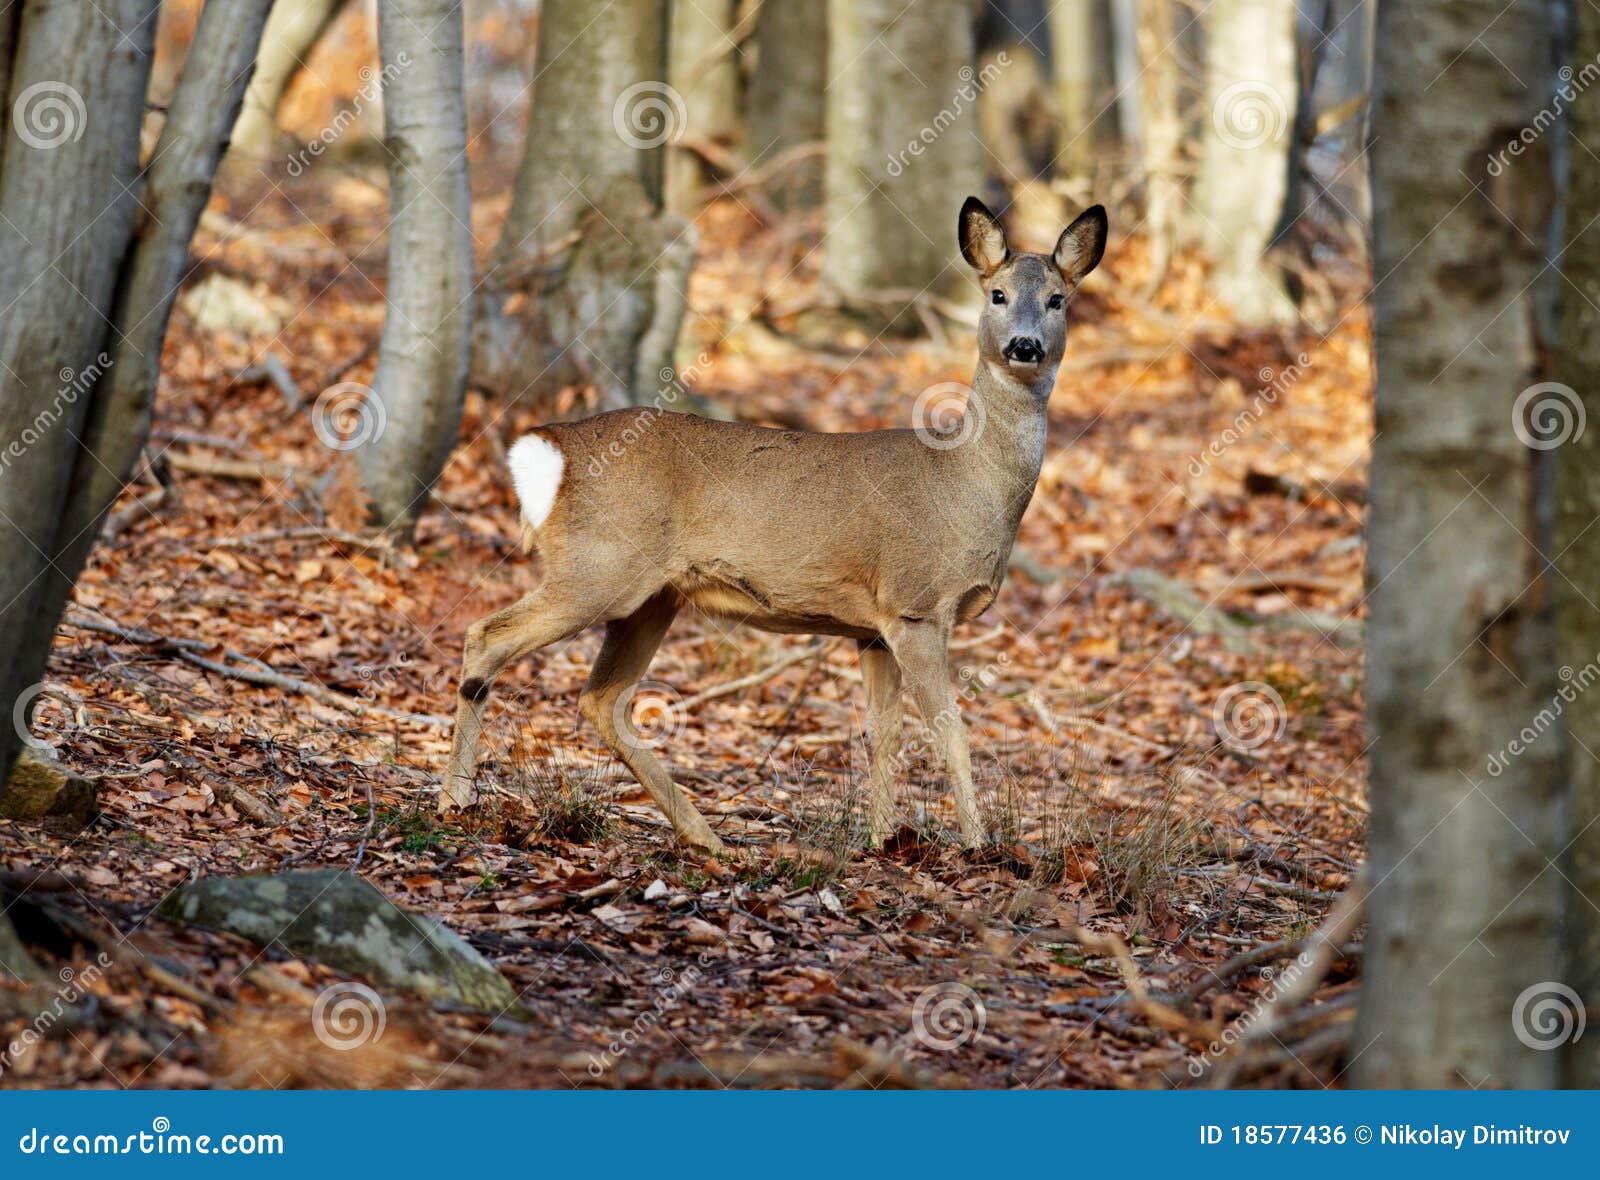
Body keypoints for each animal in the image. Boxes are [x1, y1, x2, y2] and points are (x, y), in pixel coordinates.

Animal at [441, 196, 1108, 856]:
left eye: (1057, 299)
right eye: (996, 293)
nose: (1024, 345)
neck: (968, 486)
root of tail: (546, 449)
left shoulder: (872, 628)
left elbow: (882, 734)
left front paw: (882, 841)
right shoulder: (915, 603)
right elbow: (951, 732)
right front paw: (975, 848)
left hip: (652, 596)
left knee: (603, 699)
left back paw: (704, 835)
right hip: (599, 568)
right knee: (486, 636)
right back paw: (454, 800)